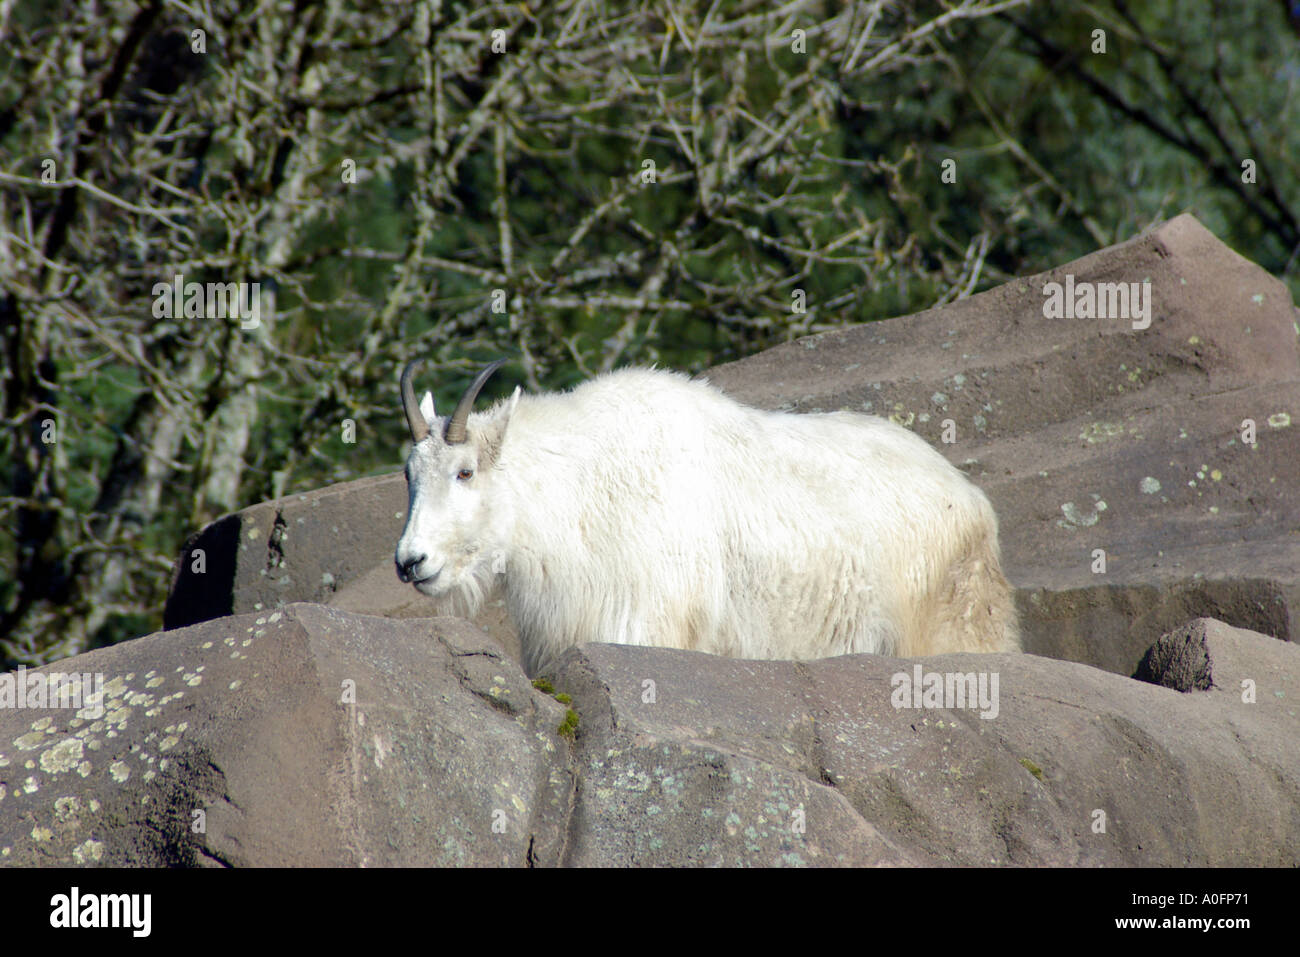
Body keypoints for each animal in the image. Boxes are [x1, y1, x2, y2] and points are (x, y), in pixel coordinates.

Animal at [395, 359, 1019, 676]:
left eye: (466, 472)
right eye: (408, 472)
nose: (410, 562)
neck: (579, 490)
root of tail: (973, 499)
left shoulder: (649, 622)